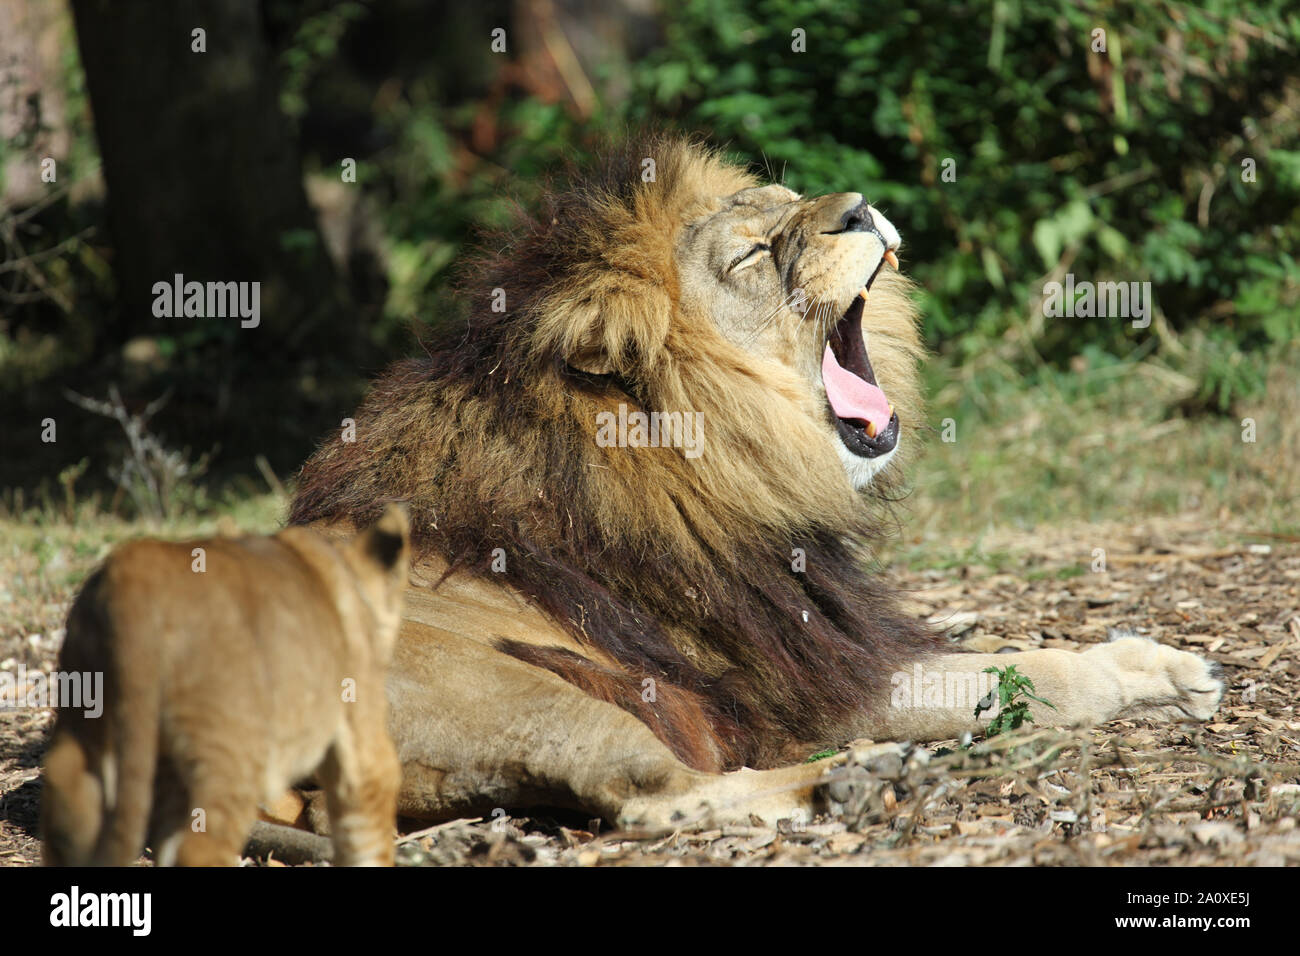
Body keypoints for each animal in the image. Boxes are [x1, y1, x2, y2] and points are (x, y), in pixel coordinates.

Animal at [289, 135, 1222, 829]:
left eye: (791, 202)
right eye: (747, 255)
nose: (859, 208)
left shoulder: (833, 646)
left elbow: (1013, 657)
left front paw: (1164, 667)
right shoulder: (792, 685)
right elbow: (1024, 679)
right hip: (531, 695)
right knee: (647, 797)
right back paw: (858, 779)